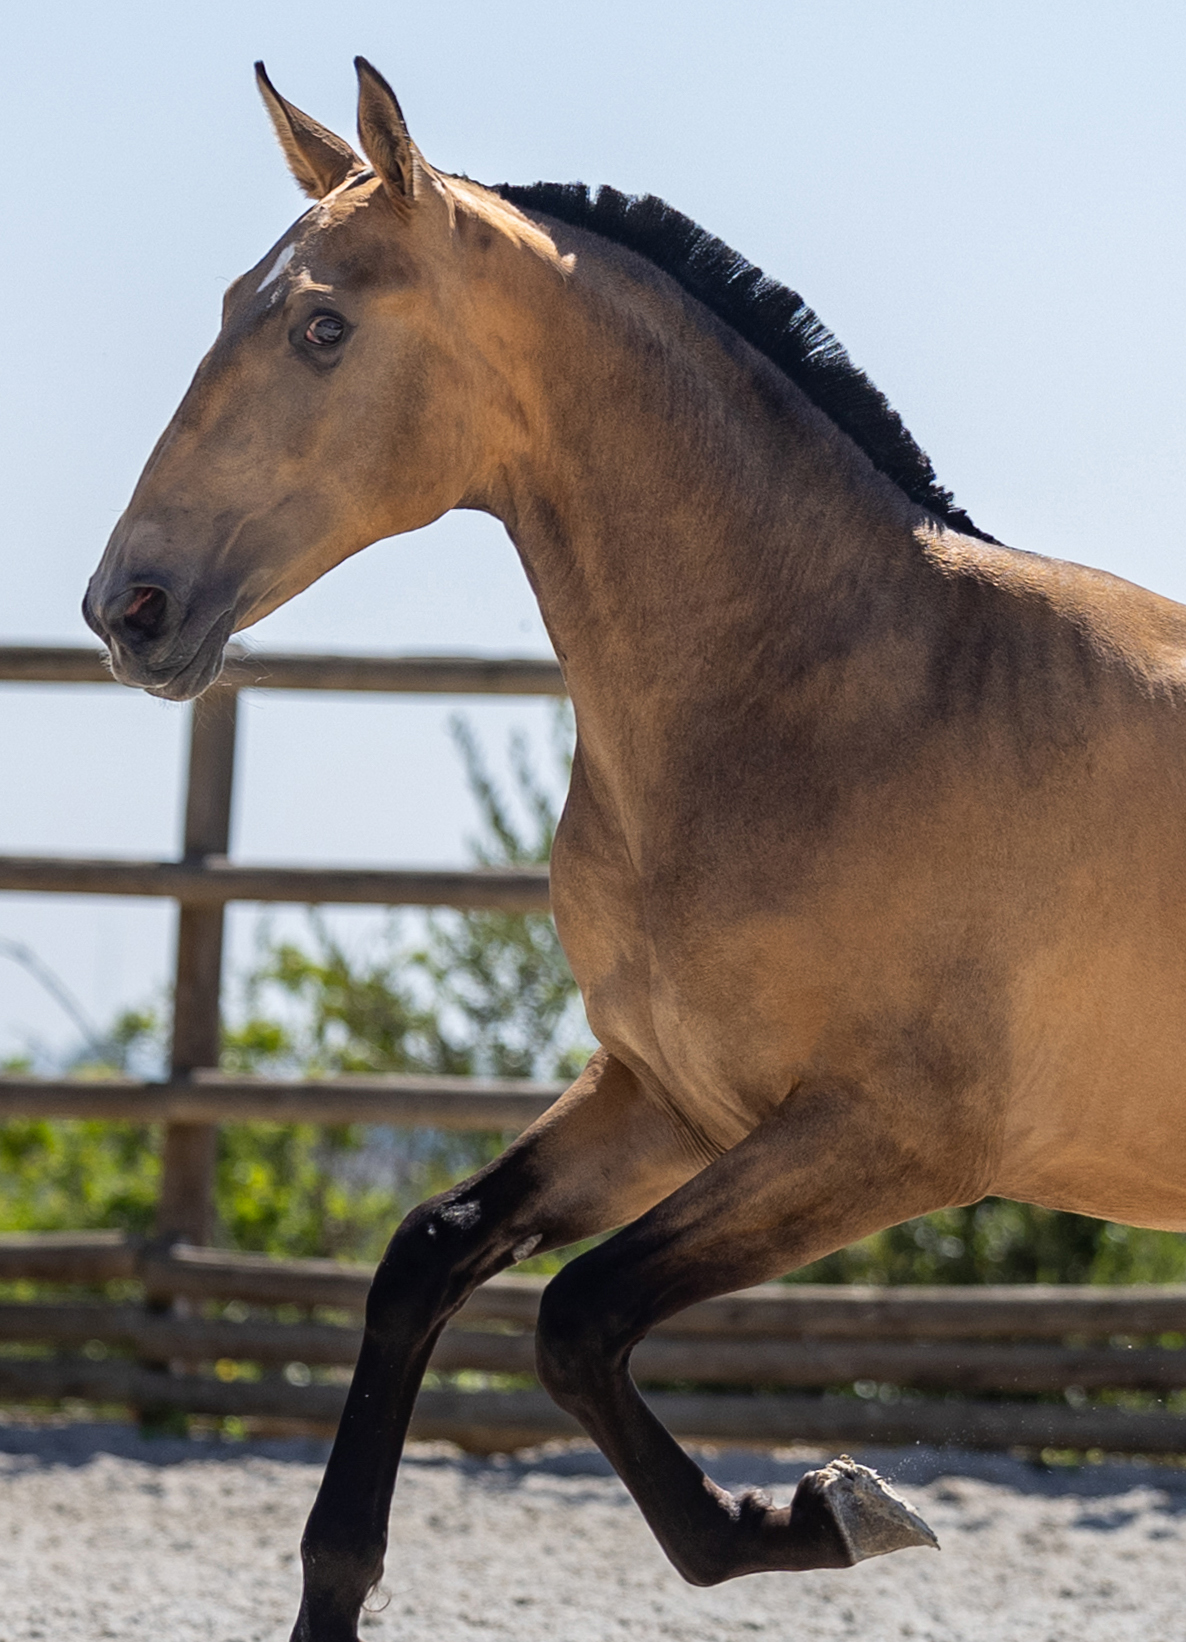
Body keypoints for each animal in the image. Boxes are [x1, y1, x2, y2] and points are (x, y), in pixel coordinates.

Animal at [83, 58, 1186, 1640]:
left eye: (321, 325)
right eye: (238, 298)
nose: (130, 606)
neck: (846, 692)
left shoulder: (889, 1137)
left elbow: (576, 1315)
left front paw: (827, 1510)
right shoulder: (668, 1094)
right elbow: (429, 1252)